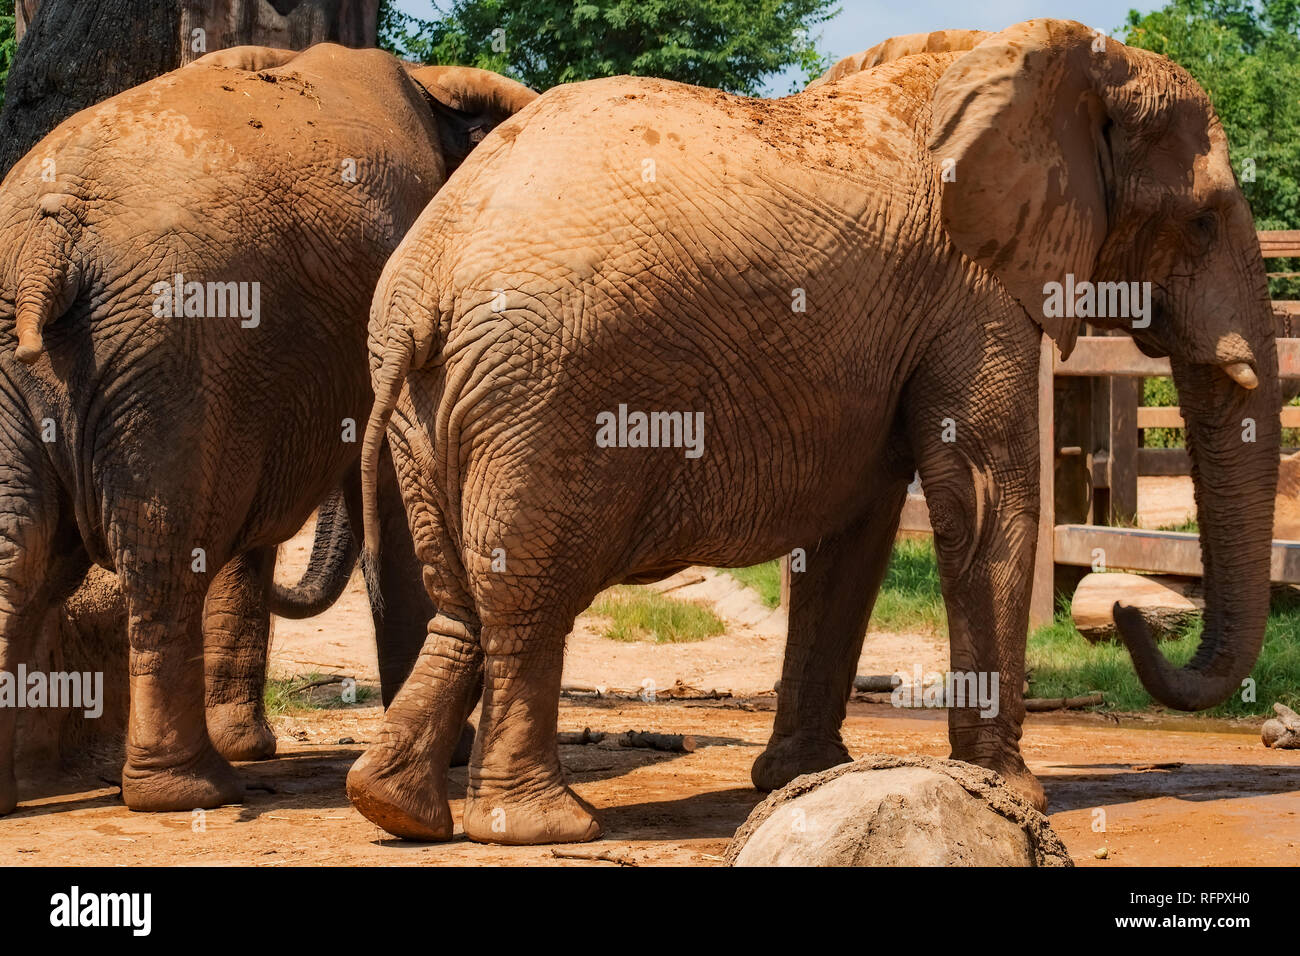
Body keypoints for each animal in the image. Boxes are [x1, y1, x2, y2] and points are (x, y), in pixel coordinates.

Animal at [0, 42, 536, 815]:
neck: (434, 82)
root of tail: (49, 236)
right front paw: (456, 752)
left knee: (26, 551)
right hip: (172, 345)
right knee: (162, 546)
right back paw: (191, 790)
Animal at [346, 17, 1280, 845]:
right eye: (1202, 219)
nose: (1124, 606)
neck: (1047, 54)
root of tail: (426, 284)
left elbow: (854, 531)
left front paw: (803, 780)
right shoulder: (973, 290)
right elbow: (986, 503)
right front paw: (1011, 793)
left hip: (437, 407)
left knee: (460, 600)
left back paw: (395, 808)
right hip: (548, 398)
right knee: (527, 597)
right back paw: (542, 826)